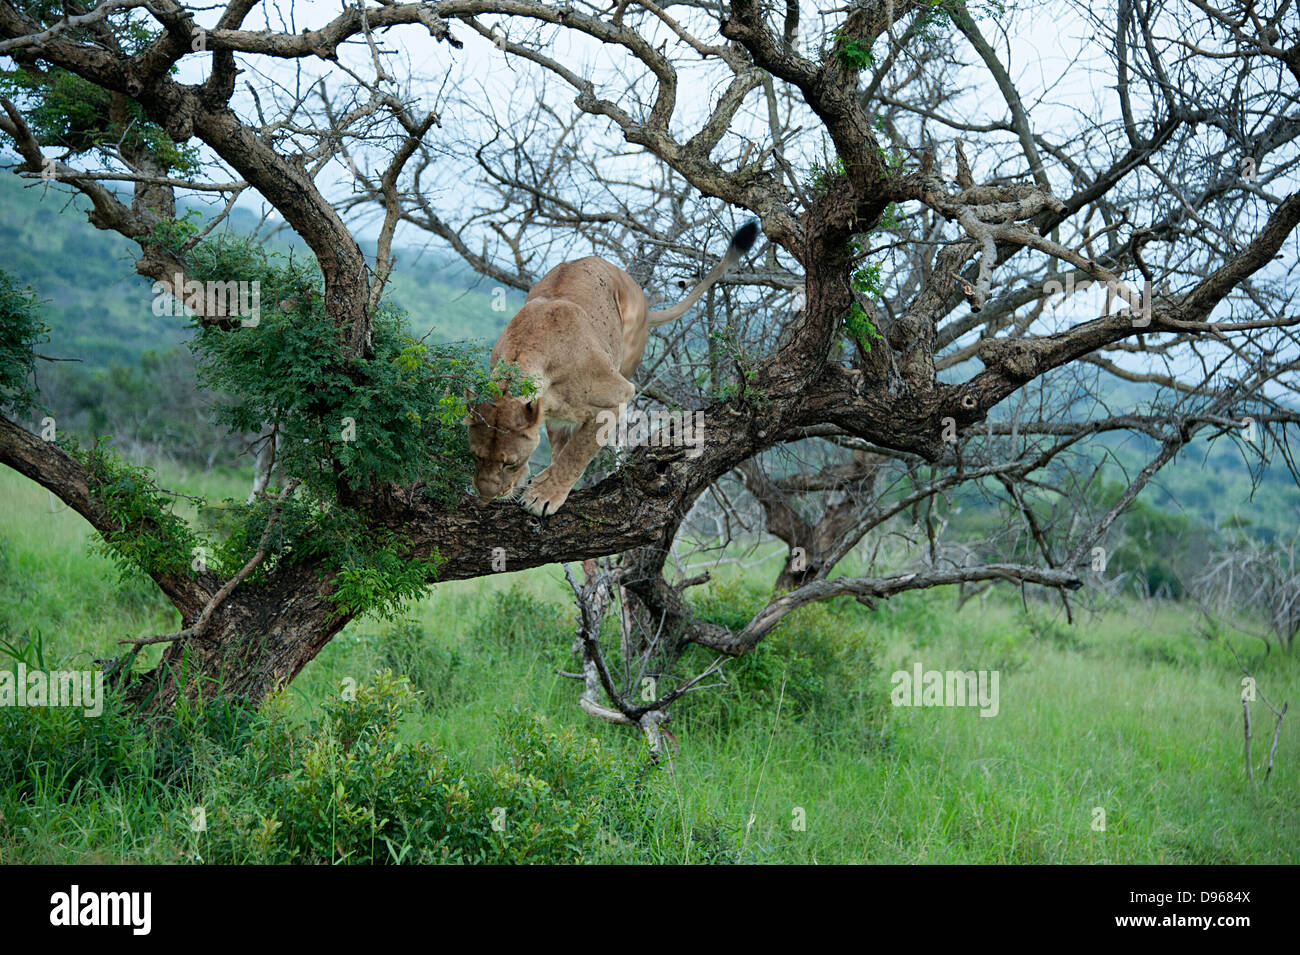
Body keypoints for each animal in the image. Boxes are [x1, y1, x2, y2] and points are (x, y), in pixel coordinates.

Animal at [466, 220, 760, 516]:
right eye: (476, 456)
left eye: (509, 462)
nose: (487, 495)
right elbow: (564, 447)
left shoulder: (617, 394)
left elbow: (578, 450)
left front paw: (544, 495)